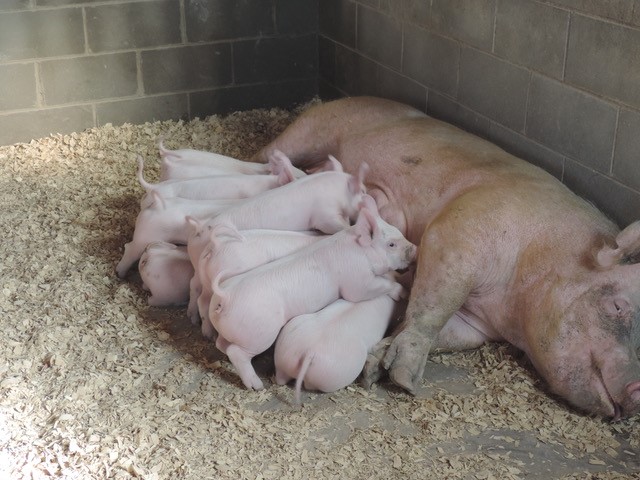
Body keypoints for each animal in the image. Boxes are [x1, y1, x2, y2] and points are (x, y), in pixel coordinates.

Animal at [210, 206, 417, 390]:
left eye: (399, 232)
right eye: (391, 244)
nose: (415, 248)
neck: (358, 248)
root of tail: (225, 296)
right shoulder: (357, 281)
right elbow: (371, 288)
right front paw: (403, 293)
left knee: (221, 344)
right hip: (259, 333)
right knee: (236, 352)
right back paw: (257, 386)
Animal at [253, 95, 640, 419]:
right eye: (618, 306)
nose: (636, 389)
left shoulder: (478, 326)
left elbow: (446, 331)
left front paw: (378, 363)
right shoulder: (460, 230)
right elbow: (433, 304)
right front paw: (404, 379)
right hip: (315, 126)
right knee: (268, 152)